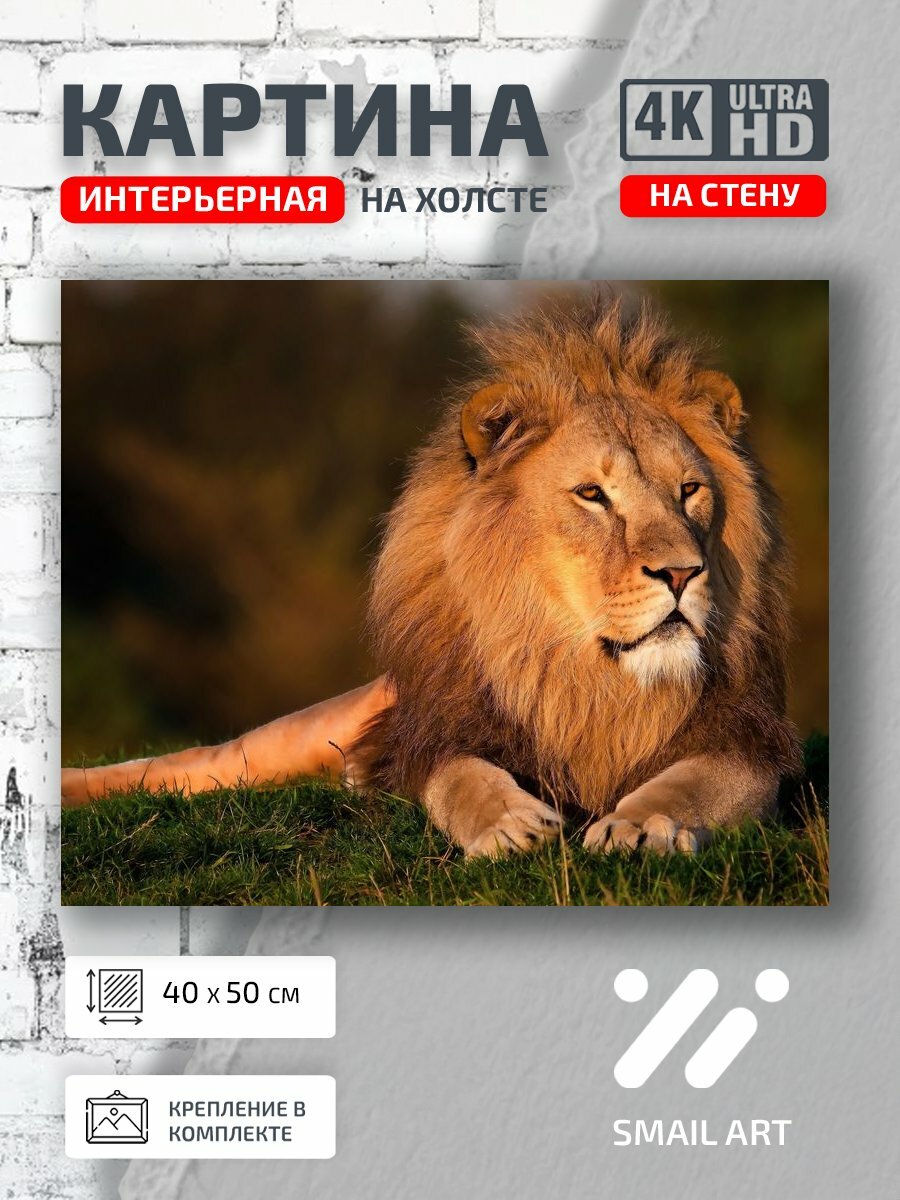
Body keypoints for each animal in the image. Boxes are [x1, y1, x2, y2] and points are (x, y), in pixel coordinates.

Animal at [62, 295, 802, 858]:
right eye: (593, 495)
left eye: (689, 491)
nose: (681, 572)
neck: (586, 678)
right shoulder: (439, 735)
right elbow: (461, 778)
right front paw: (509, 825)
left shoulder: (747, 744)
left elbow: (694, 782)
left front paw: (643, 824)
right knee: (185, 766)